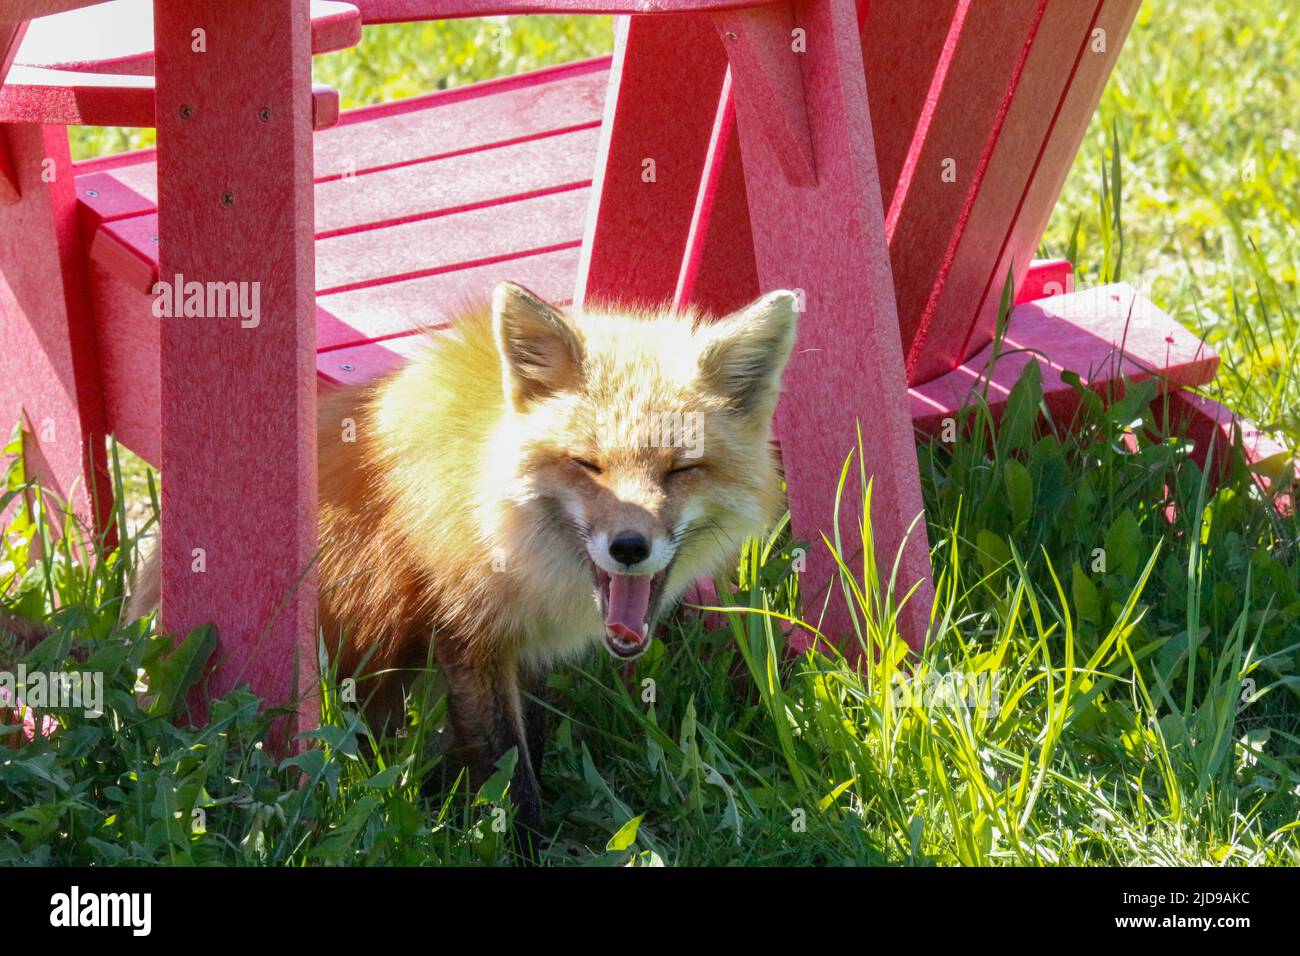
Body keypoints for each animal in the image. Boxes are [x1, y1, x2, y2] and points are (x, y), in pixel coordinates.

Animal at [123, 281, 798, 847]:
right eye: (588, 464)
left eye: (682, 469)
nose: (629, 547)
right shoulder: (465, 631)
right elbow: (506, 765)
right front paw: (523, 847)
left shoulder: (517, 648)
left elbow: (531, 741)